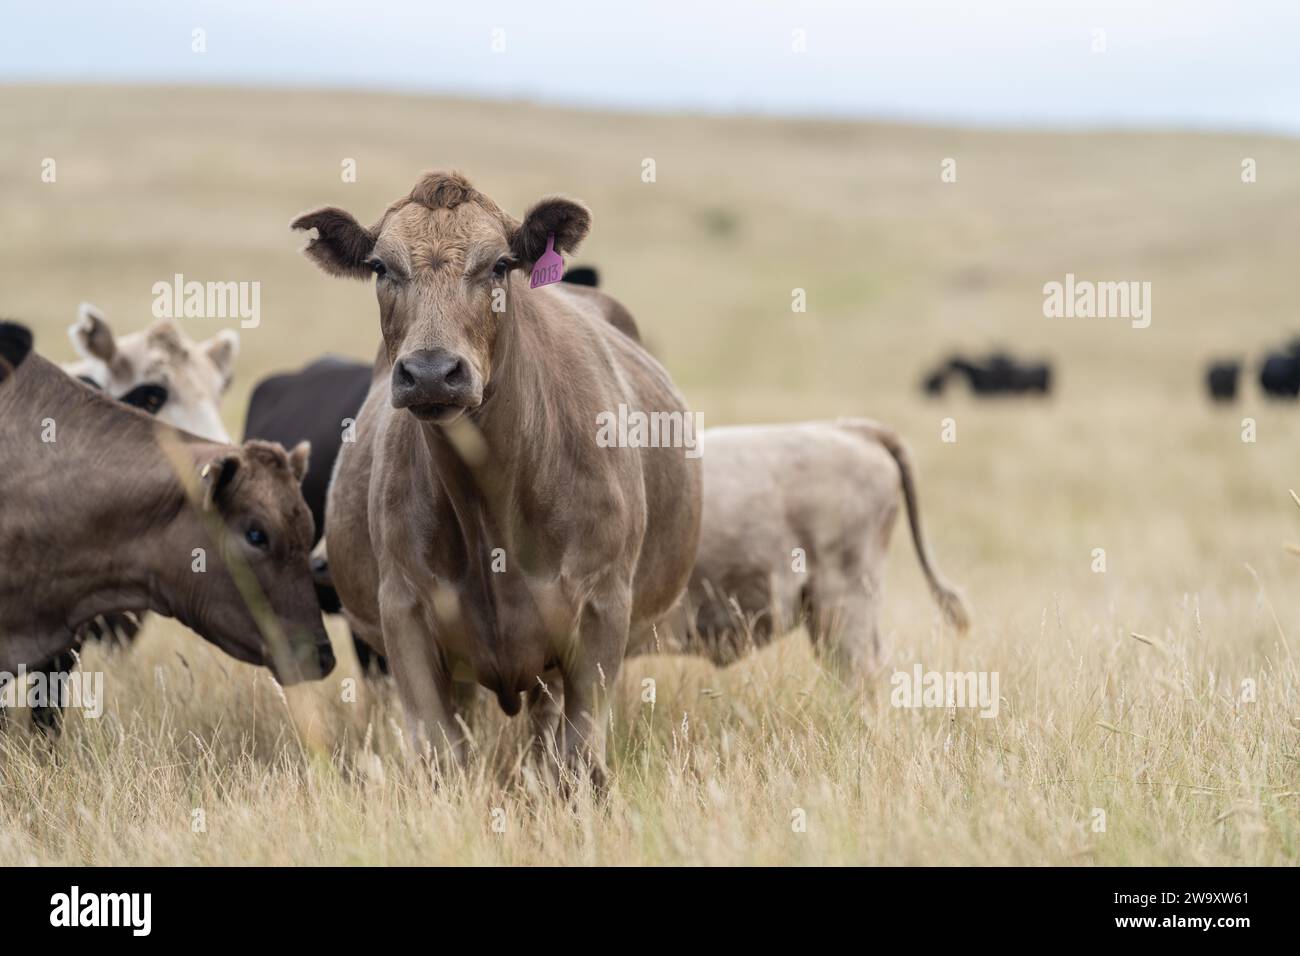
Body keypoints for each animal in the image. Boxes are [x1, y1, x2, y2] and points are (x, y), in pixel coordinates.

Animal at [291, 170, 703, 785]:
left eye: (500, 265)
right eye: (381, 267)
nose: (431, 371)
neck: (491, 505)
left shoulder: (602, 610)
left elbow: (579, 758)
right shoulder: (404, 613)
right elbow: (441, 756)